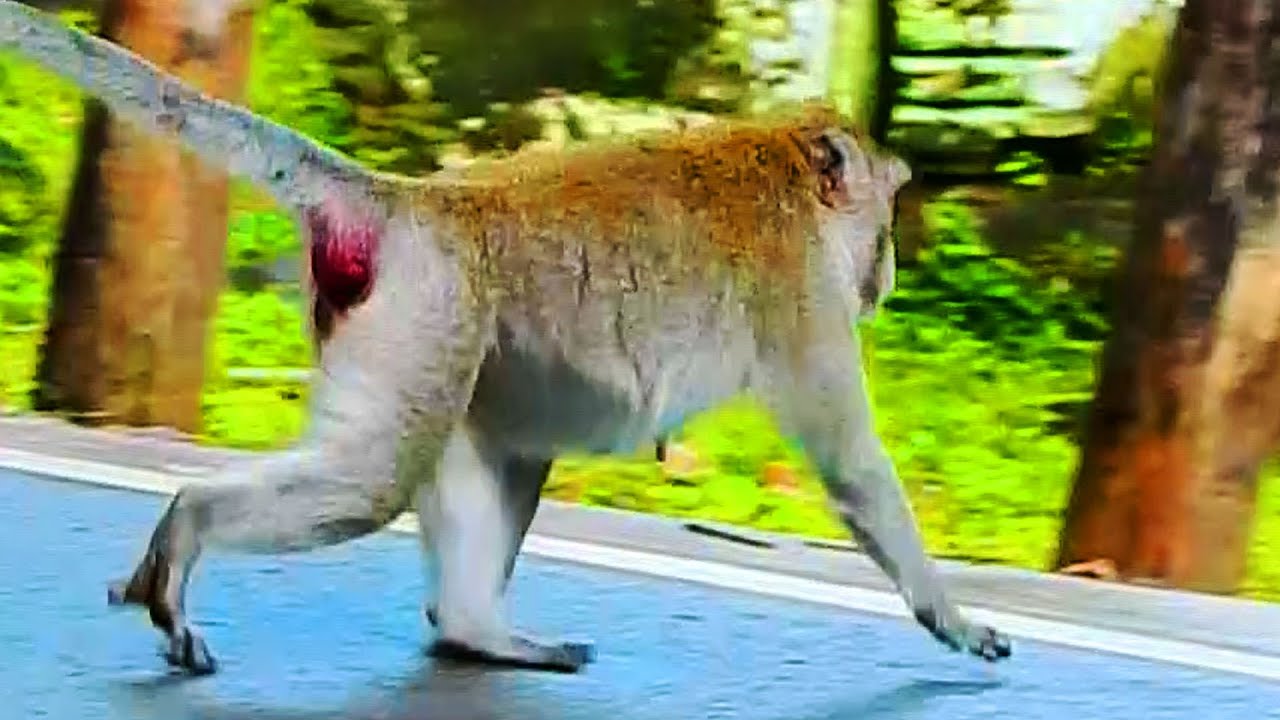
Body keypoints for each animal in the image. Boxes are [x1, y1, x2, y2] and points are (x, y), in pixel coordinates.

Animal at [0, 1, 1011, 676]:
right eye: (887, 215)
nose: (888, 275)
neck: (784, 177)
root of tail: (411, 206)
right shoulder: (801, 299)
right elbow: (852, 469)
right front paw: (953, 618)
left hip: (444, 338)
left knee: (480, 449)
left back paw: (473, 630)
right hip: (427, 321)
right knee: (374, 478)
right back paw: (190, 525)